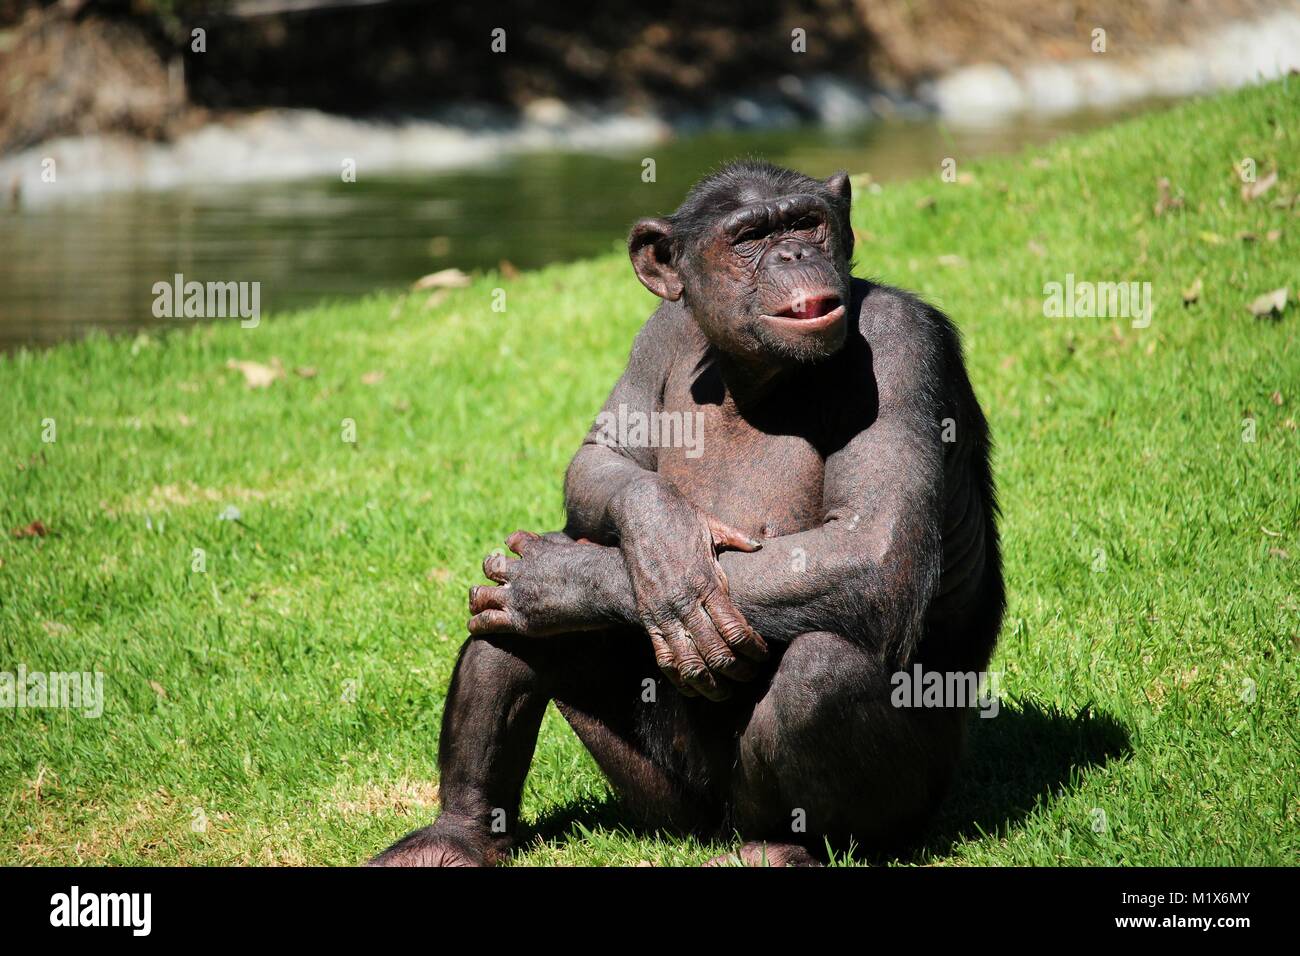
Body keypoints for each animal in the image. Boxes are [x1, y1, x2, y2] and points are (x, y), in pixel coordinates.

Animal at [370, 160, 1004, 867]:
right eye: (749, 237)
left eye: (805, 222)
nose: (795, 254)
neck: (754, 374)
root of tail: (712, 826)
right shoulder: (659, 333)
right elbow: (602, 457)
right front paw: (662, 542)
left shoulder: (901, 346)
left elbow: (870, 547)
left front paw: (560, 579)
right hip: (659, 800)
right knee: (507, 632)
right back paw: (458, 834)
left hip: (902, 811)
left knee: (824, 668)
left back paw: (778, 845)